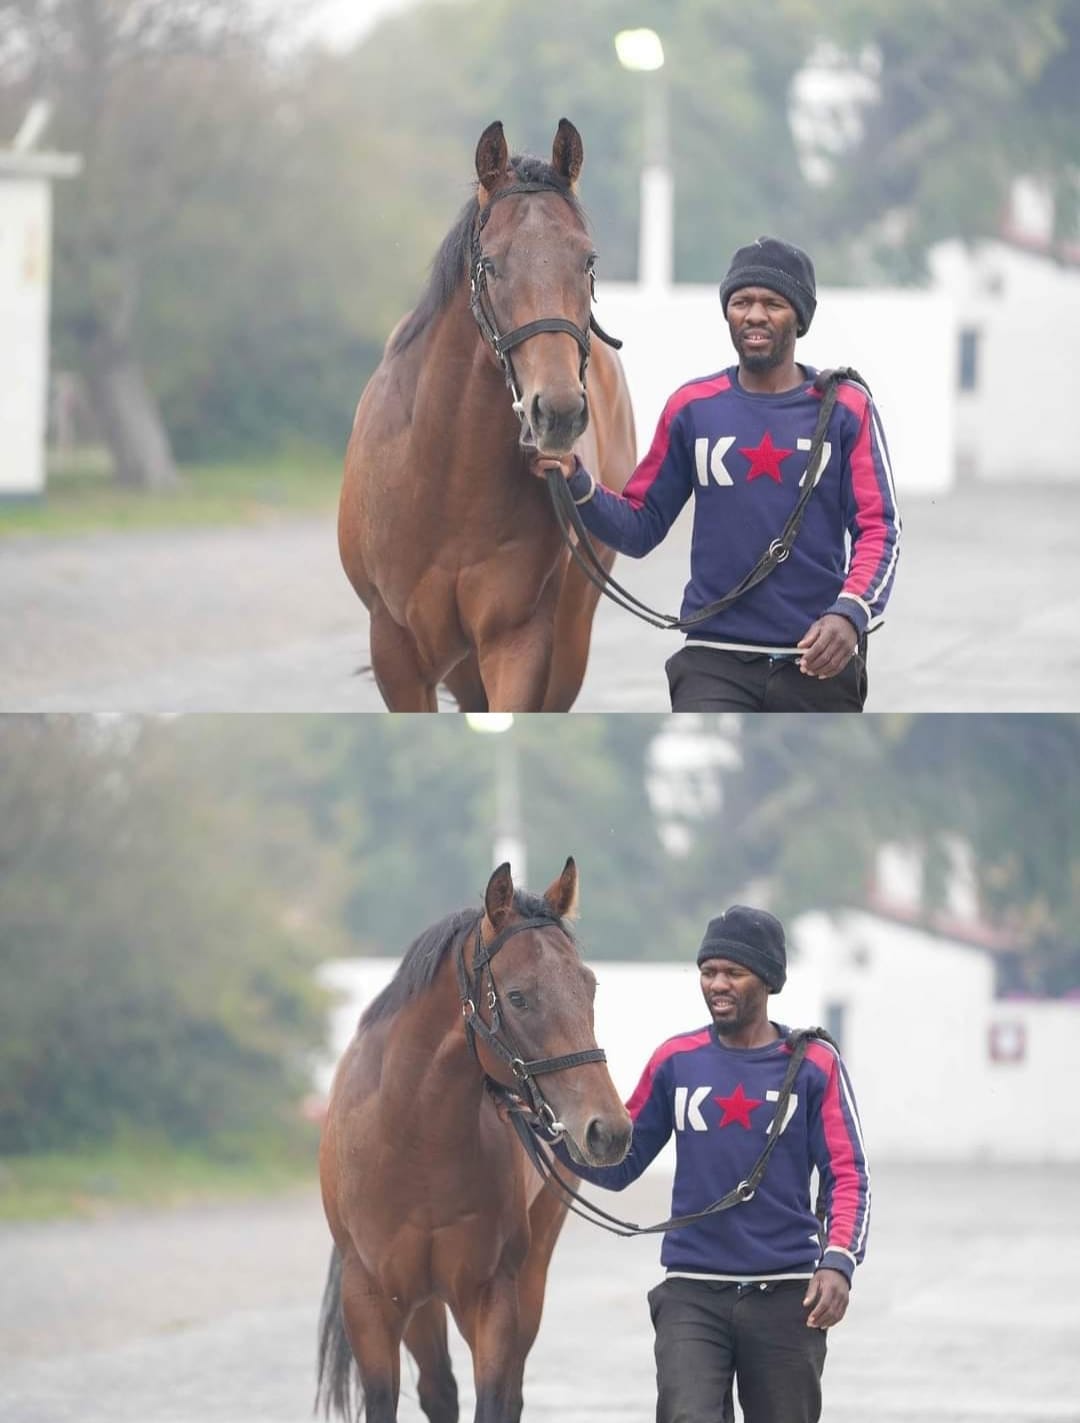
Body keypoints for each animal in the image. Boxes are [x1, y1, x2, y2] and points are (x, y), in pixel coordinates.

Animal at [316, 858, 631, 1423]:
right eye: (518, 996)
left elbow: (495, 1397)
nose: (608, 1129)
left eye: (589, 987)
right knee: (439, 1389)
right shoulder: (372, 1300)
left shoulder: (490, 1298)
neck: (413, 1141)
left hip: (532, 1269)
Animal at [338, 118, 637, 711]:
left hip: (569, 641)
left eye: (587, 261)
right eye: (490, 264)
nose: (559, 411)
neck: (446, 480)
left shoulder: (517, 639)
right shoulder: (397, 651)